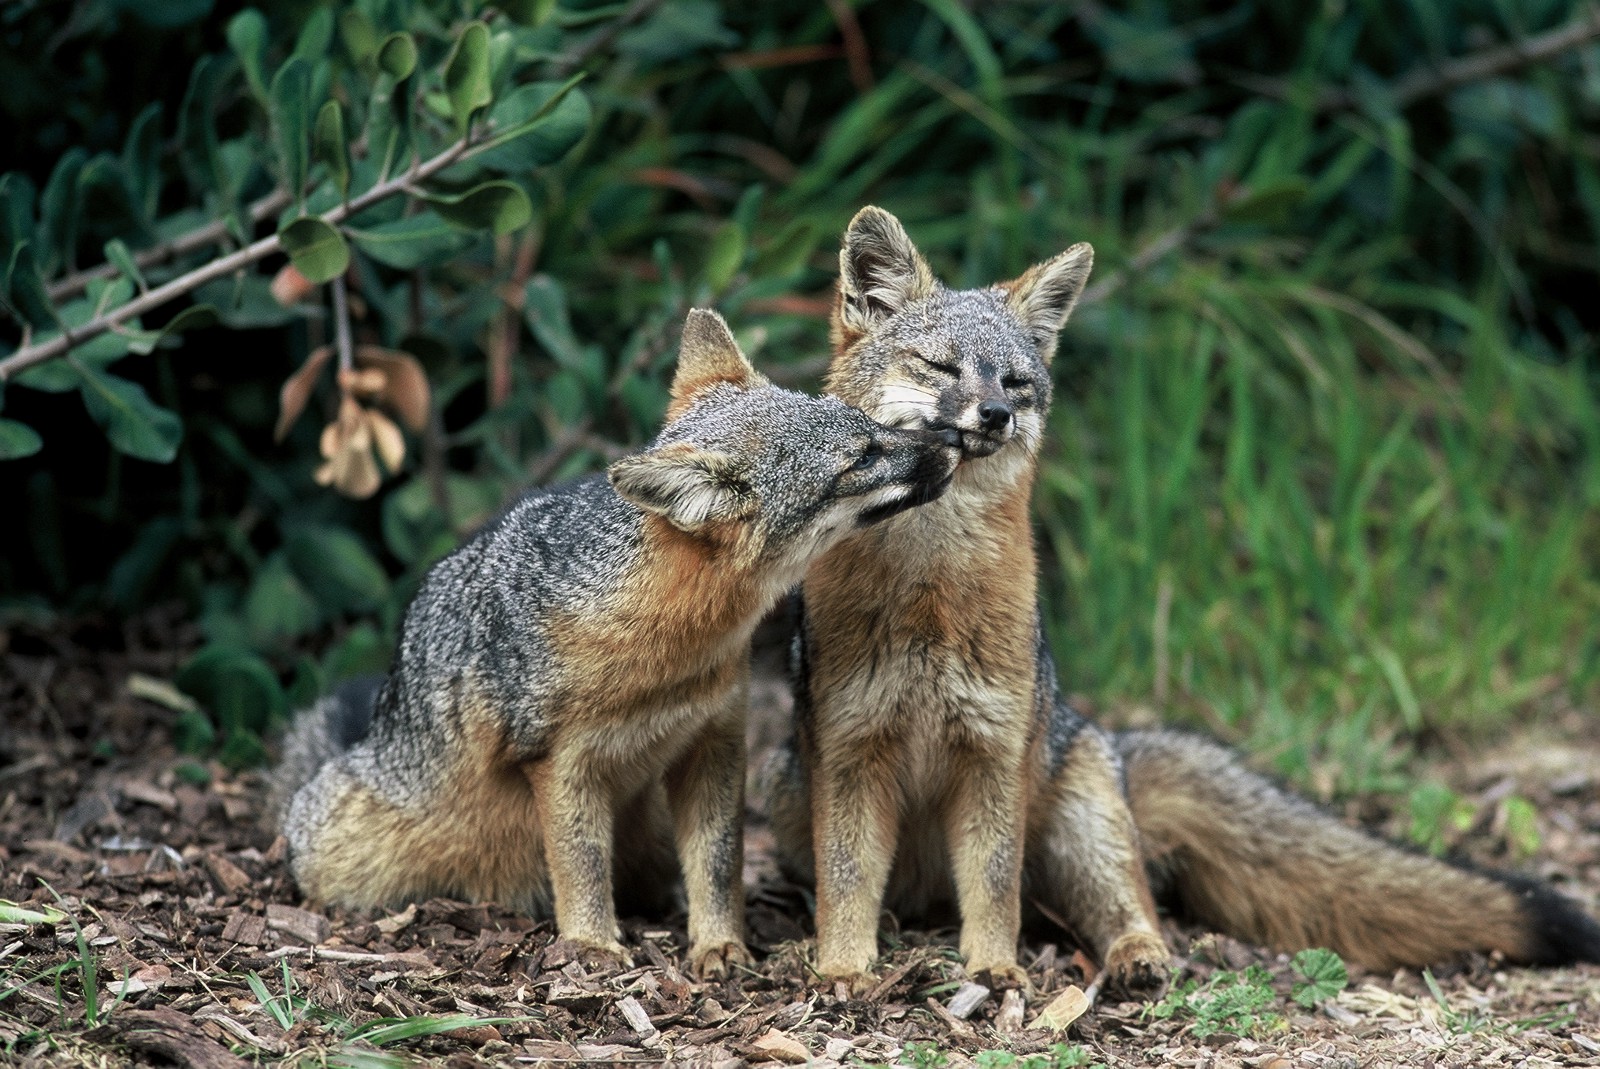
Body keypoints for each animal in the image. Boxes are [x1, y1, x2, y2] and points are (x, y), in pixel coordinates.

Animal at [270, 308, 960, 977]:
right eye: (861, 458)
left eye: (871, 424)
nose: (952, 441)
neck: (666, 656)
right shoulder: (559, 763)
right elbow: (580, 863)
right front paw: (592, 946)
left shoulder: (715, 739)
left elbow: (719, 863)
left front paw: (718, 945)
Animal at [765, 207, 1600, 994]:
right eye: (940, 367)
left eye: (1014, 383)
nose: (997, 416)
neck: (930, 594)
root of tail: (1103, 734)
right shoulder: (852, 752)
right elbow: (848, 885)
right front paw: (842, 968)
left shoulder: (991, 756)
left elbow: (995, 891)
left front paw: (995, 968)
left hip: (1081, 830)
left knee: (1123, 906)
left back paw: (1138, 958)